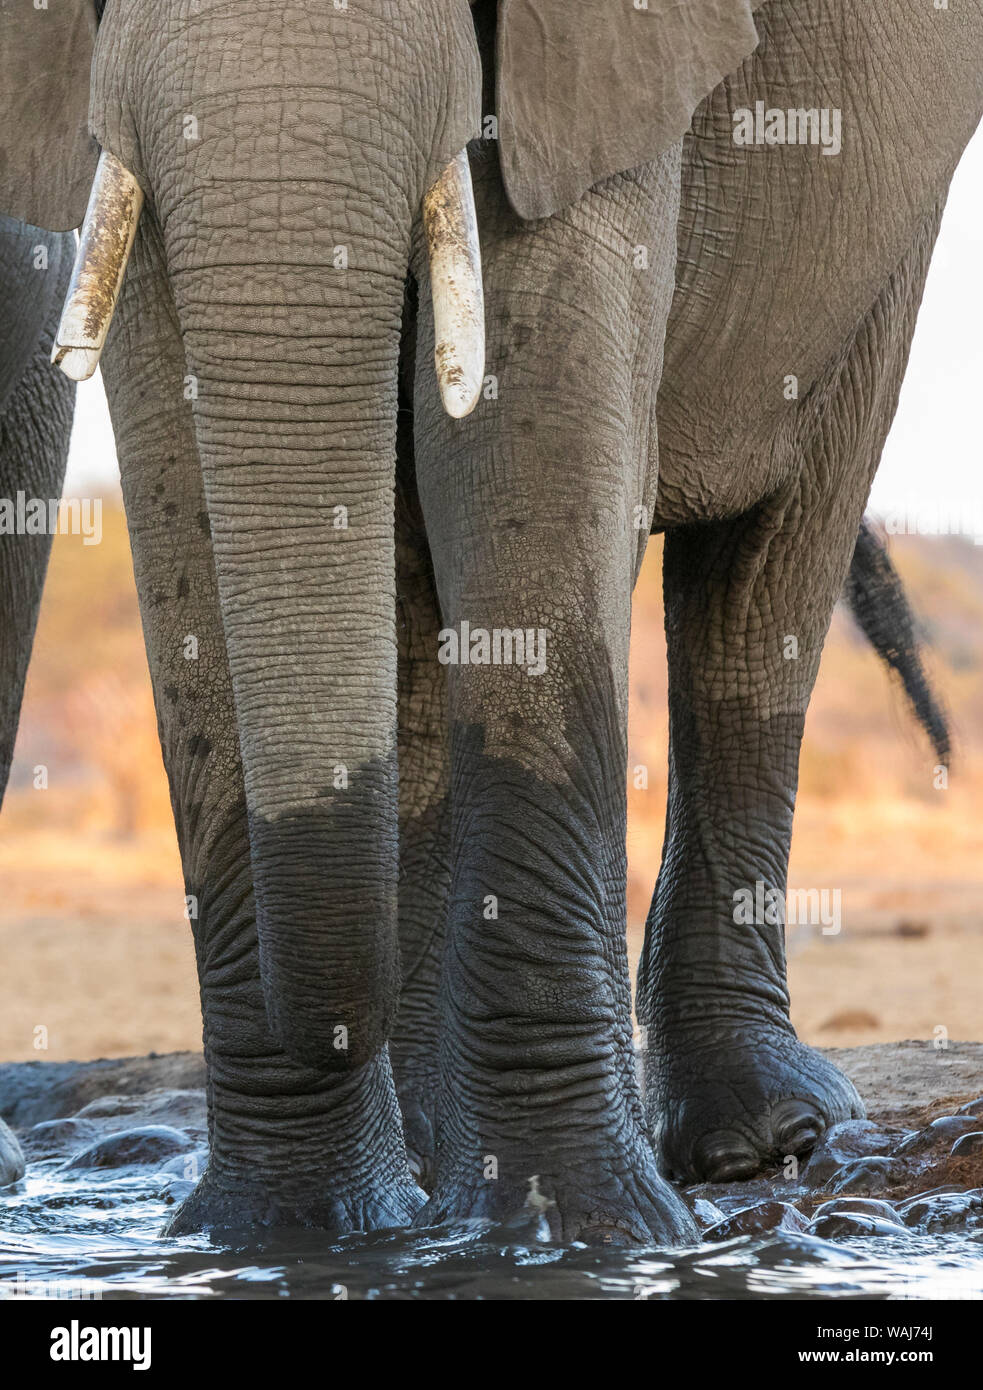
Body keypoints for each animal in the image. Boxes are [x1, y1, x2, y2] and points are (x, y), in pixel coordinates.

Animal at [0, 0, 978, 1245]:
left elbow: (526, 429)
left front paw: (578, 1235)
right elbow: (179, 471)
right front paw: (279, 1237)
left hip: (883, 236)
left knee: (765, 570)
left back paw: (758, 1141)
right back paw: (428, 1156)